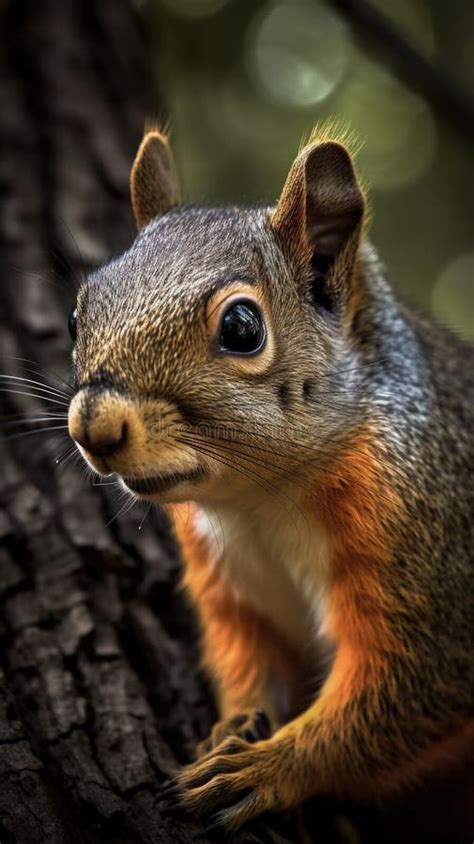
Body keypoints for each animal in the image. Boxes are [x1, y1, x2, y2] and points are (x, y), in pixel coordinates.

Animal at [68, 125, 473, 834]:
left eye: (241, 327)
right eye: (76, 313)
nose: (93, 426)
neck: (261, 500)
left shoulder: (428, 543)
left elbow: (407, 690)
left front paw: (269, 767)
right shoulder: (236, 594)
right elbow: (252, 666)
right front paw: (230, 728)